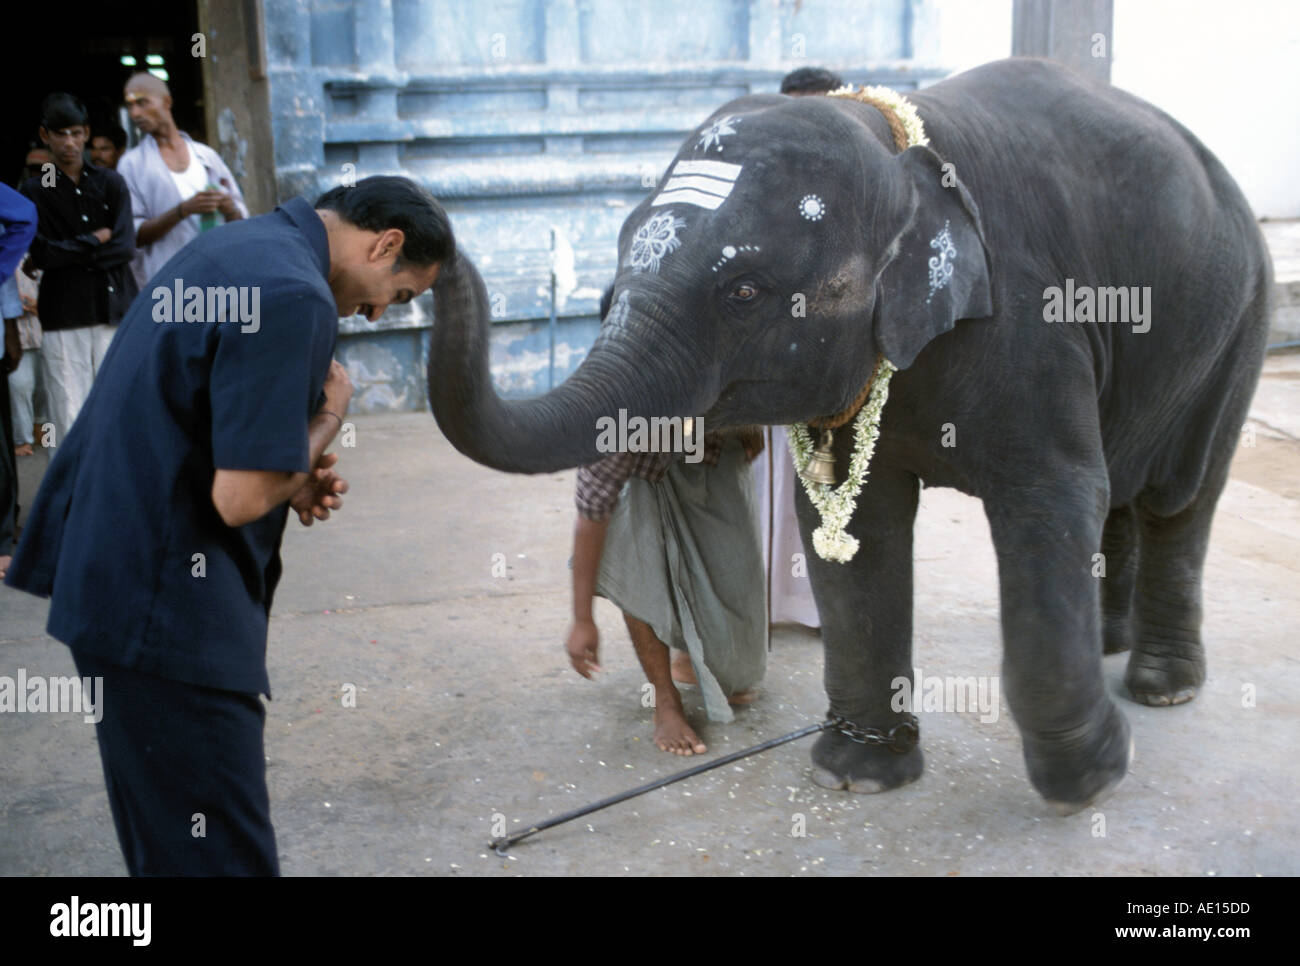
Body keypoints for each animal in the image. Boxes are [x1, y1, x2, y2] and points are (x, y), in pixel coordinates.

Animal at [426, 58, 1272, 813]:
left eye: (743, 290)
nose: (427, 227)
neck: (896, 155)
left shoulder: (1034, 323)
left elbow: (1049, 502)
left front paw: (1089, 785)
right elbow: (856, 525)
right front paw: (855, 775)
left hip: (1241, 326)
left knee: (1178, 497)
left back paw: (1162, 689)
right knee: (1127, 487)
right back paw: (1110, 647)